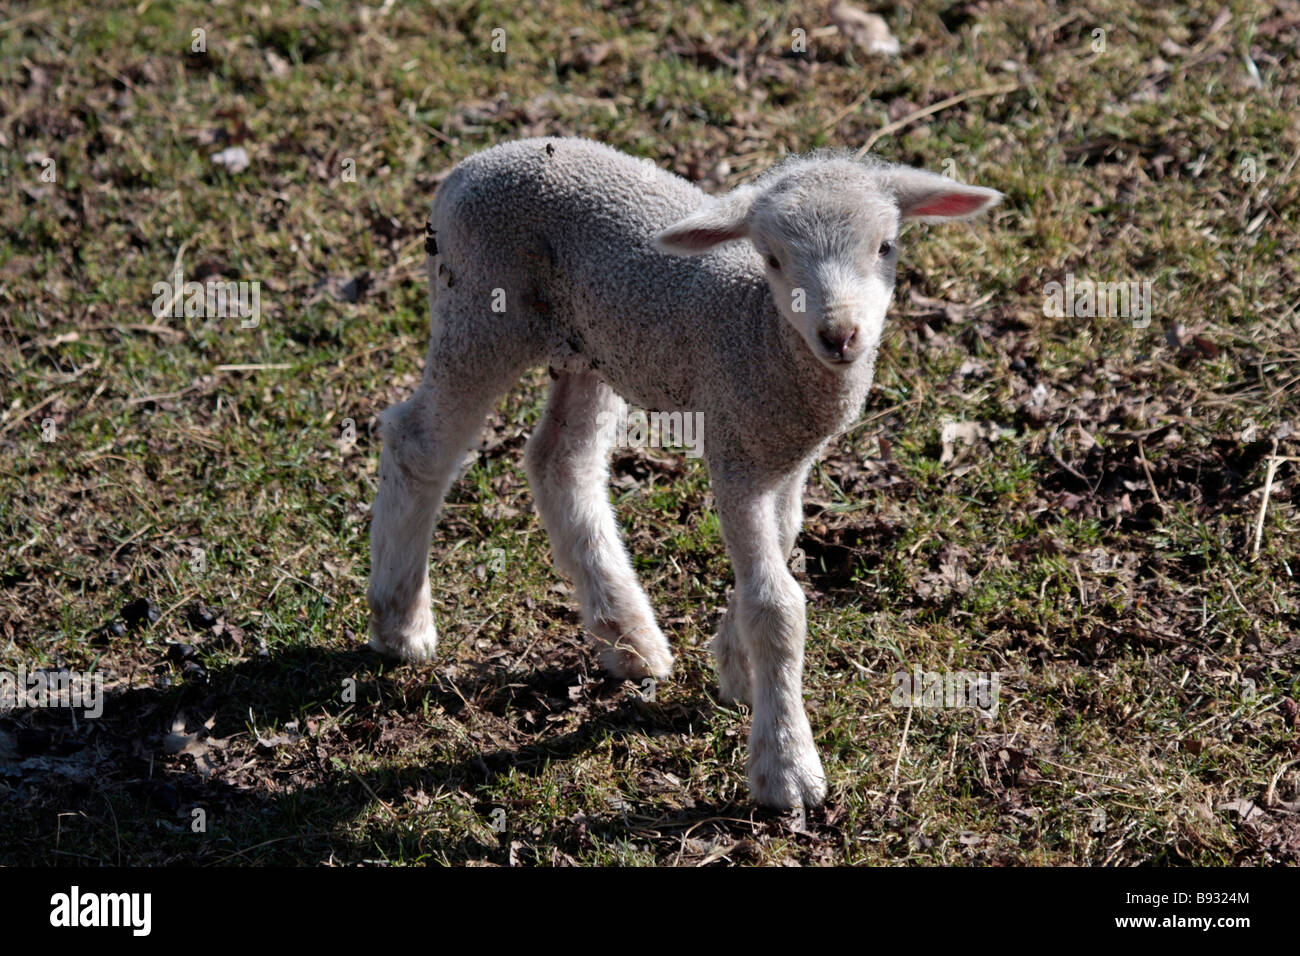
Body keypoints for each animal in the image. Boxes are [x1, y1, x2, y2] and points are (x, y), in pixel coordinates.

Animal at [367, 137, 1000, 809]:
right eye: (773, 259)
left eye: (886, 246)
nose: (840, 335)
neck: (761, 329)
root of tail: (474, 163)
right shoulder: (736, 452)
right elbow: (777, 605)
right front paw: (786, 765)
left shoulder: (782, 459)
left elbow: (781, 546)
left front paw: (736, 666)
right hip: (478, 311)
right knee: (418, 444)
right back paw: (401, 623)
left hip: (590, 346)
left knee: (561, 461)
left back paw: (628, 638)